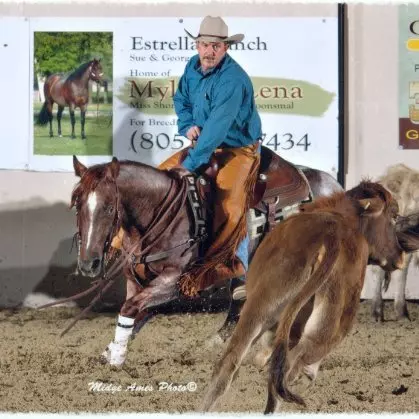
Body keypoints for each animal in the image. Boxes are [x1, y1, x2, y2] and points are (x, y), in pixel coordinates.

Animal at [202, 180, 406, 414]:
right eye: (393, 216)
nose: (401, 257)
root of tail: (331, 239)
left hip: (262, 309)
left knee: (243, 367)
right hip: (326, 327)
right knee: (281, 370)